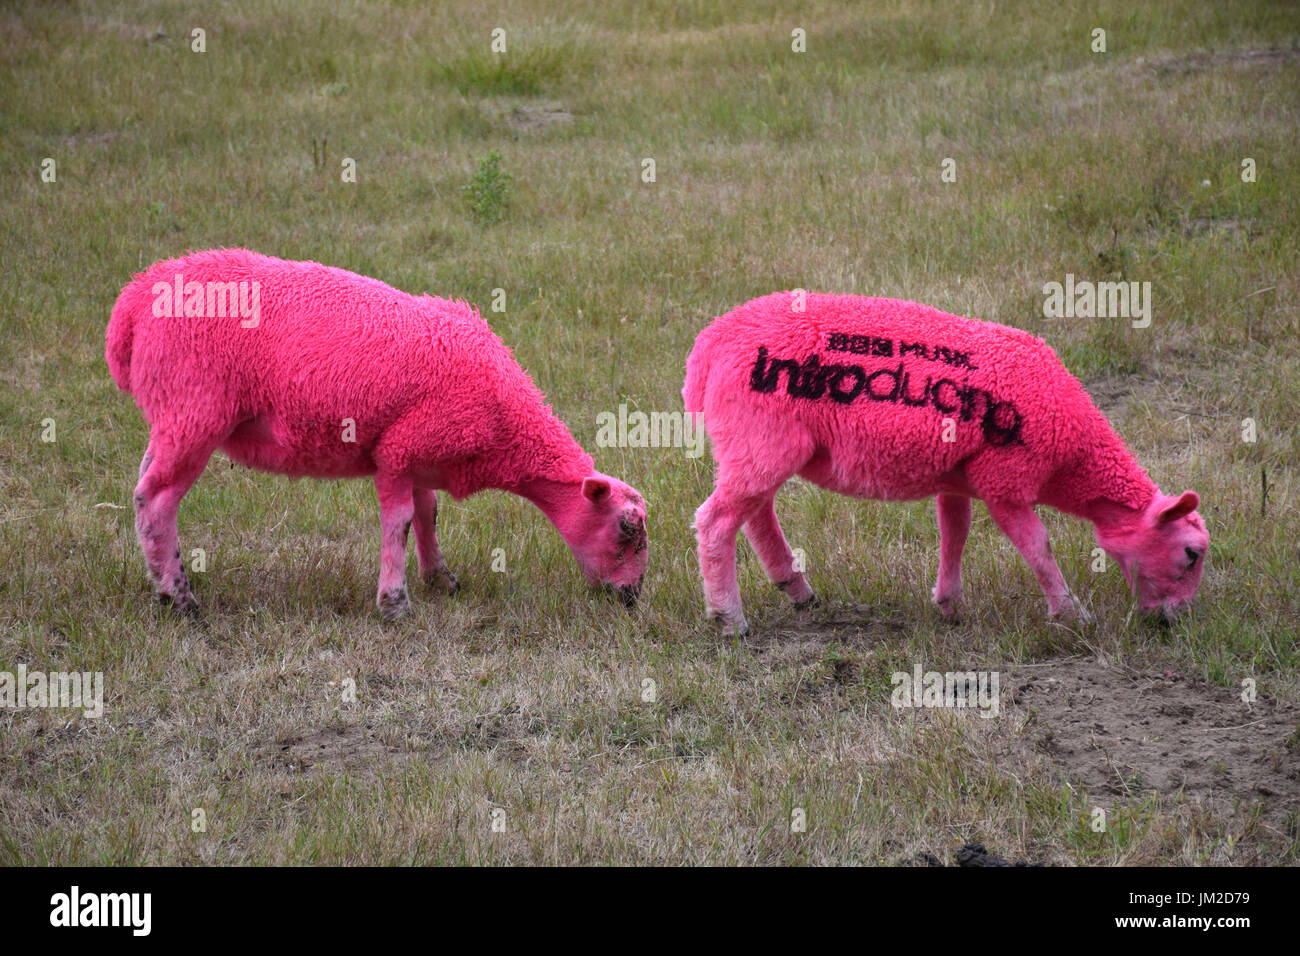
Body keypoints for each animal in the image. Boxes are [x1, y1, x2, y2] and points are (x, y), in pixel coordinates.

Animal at [106, 249, 648, 621]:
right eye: (627, 529)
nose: (631, 599)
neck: (507, 424)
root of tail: (133, 301)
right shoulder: (397, 451)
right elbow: (400, 523)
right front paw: (395, 604)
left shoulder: (424, 452)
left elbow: (428, 514)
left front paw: (440, 579)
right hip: (195, 411)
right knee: (156, 500)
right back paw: (180, 600)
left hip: (170, 417)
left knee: (142, 489)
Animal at [683, 292, 1208, 635]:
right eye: (1191, 554)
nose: (1177, 622)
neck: (1074, 455)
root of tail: (712, 339)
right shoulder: (1005, 479)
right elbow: (1038, 546)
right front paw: (1071, 615)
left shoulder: (959, 476)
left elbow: (955, 532)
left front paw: (950, 605)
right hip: (762, 438)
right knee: (716, 521)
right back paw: (729, 618)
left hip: (757, 444)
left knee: (755, 513)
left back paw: (795, 588)